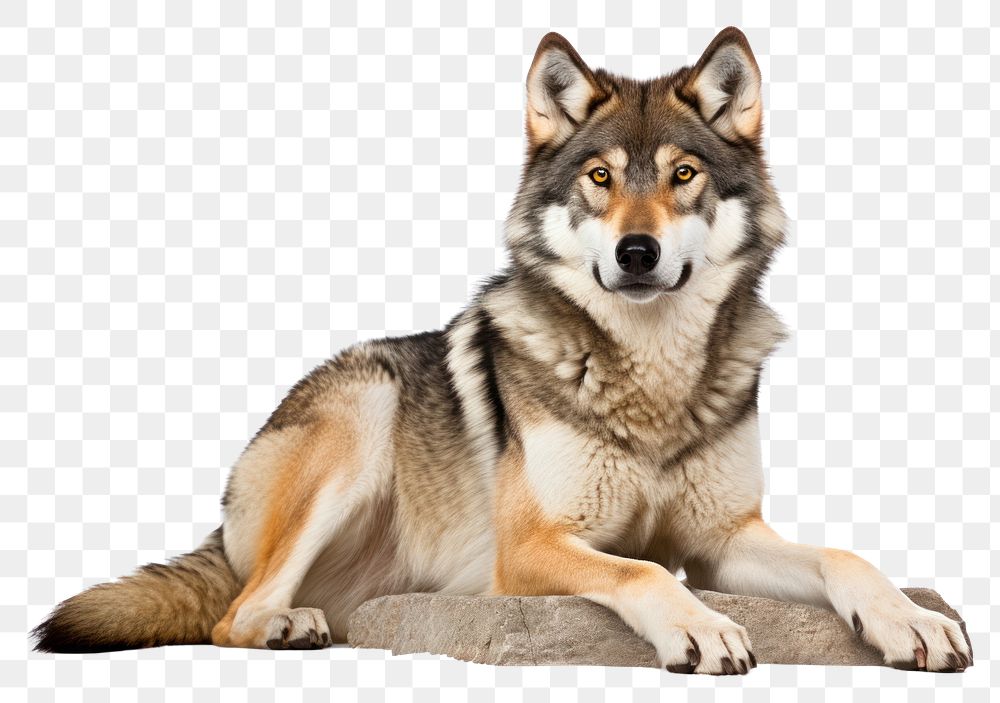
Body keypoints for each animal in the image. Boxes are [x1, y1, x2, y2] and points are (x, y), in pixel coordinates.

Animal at [34, 28, 973, 674]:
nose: (637, 252)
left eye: (683, 175)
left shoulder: (723, 542)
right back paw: (289, 625)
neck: (651, 378)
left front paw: (913, 618)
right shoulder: (532, 548)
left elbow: (844, 554)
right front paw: (702, 627)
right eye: (600, 177)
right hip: (362, 411)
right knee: (233, 613)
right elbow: (643, 572)